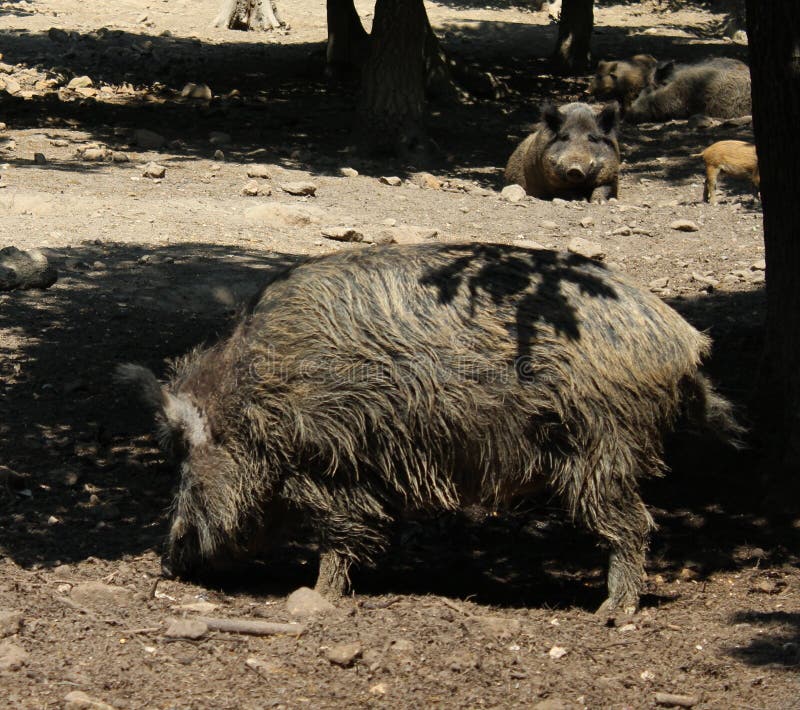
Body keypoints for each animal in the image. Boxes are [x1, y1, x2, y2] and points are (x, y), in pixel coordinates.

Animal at [119, 242, 742, 616]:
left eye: (185, 456)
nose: (167, 560)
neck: (255, 396)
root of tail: (684, 340)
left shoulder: (331, 463)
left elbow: (342, 533)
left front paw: (316, 597)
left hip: (602, 449)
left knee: (634, 524)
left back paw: (612, 613)